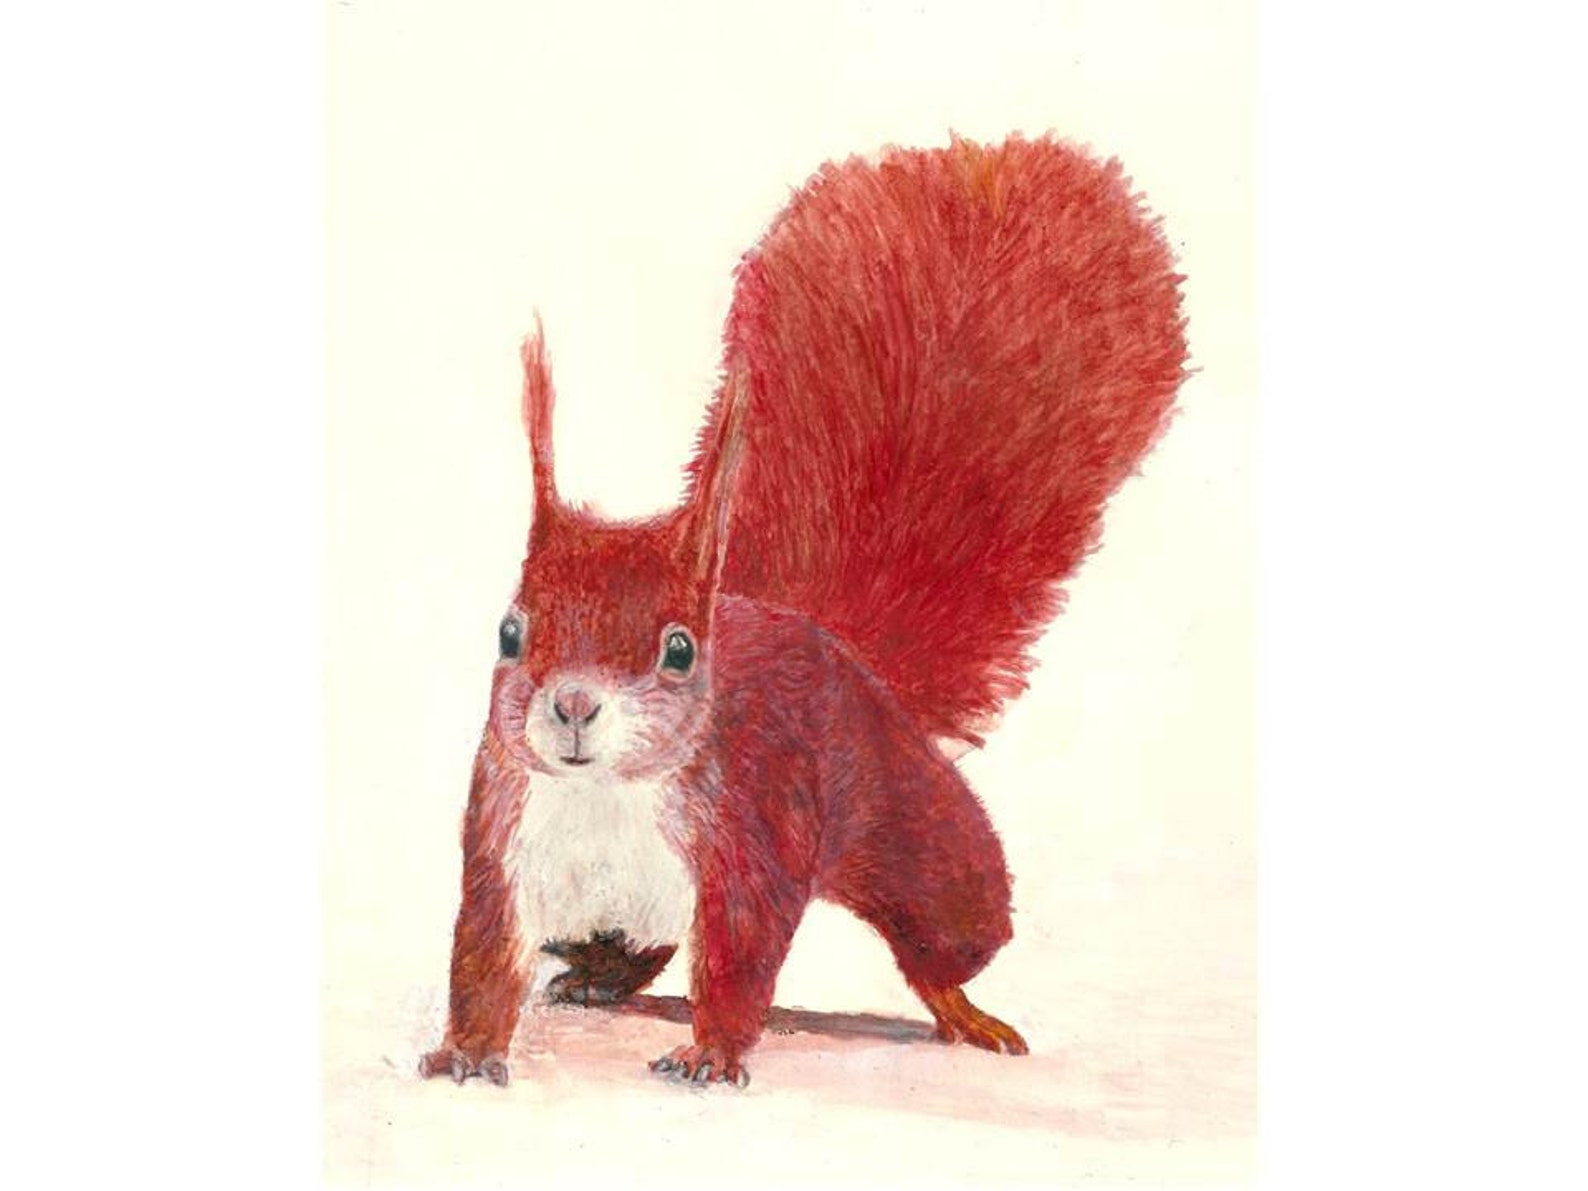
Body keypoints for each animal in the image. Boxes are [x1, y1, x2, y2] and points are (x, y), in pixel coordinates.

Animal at [419, 134, 1187, 1088]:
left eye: (680, 649)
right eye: (509, 632)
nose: (571, 704)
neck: (608, 791)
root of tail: (843, 648)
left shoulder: (752, 837)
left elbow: (739, 959)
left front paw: (711, 1052)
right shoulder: (504, 844)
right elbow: (483, 958)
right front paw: (468, 1049)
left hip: (925, 840)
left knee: (943, 938)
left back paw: (961, 1008)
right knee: (637, 946)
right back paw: (597, 976)